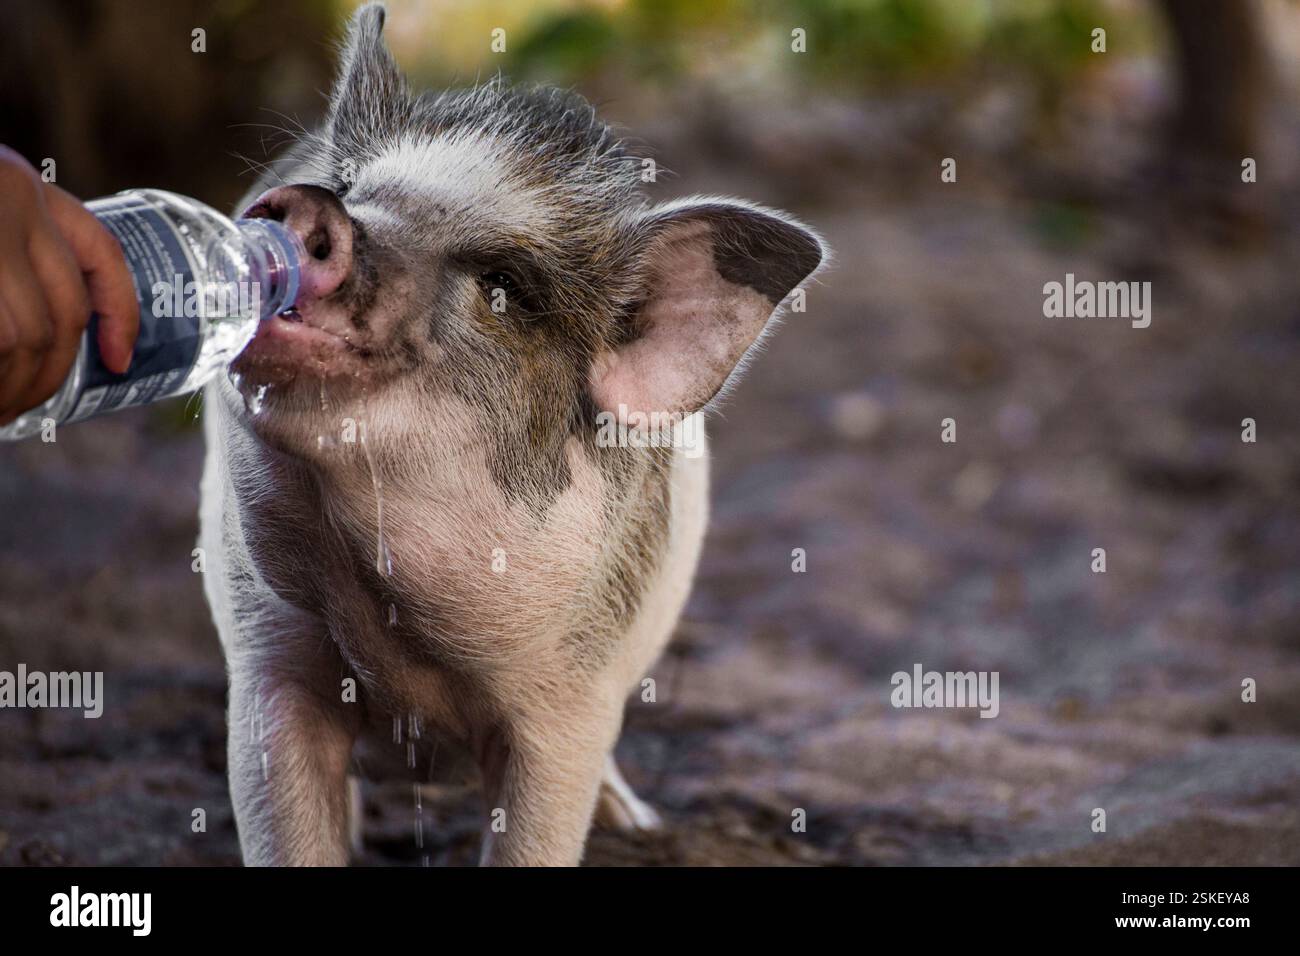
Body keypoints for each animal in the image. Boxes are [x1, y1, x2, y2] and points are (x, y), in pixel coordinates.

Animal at [198, 3, 826, 866]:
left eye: (506, 289)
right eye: (351, 190)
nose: (312, 206)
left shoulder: (569, 704)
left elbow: (539, 829)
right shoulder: (268, 664)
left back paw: (634, 822)